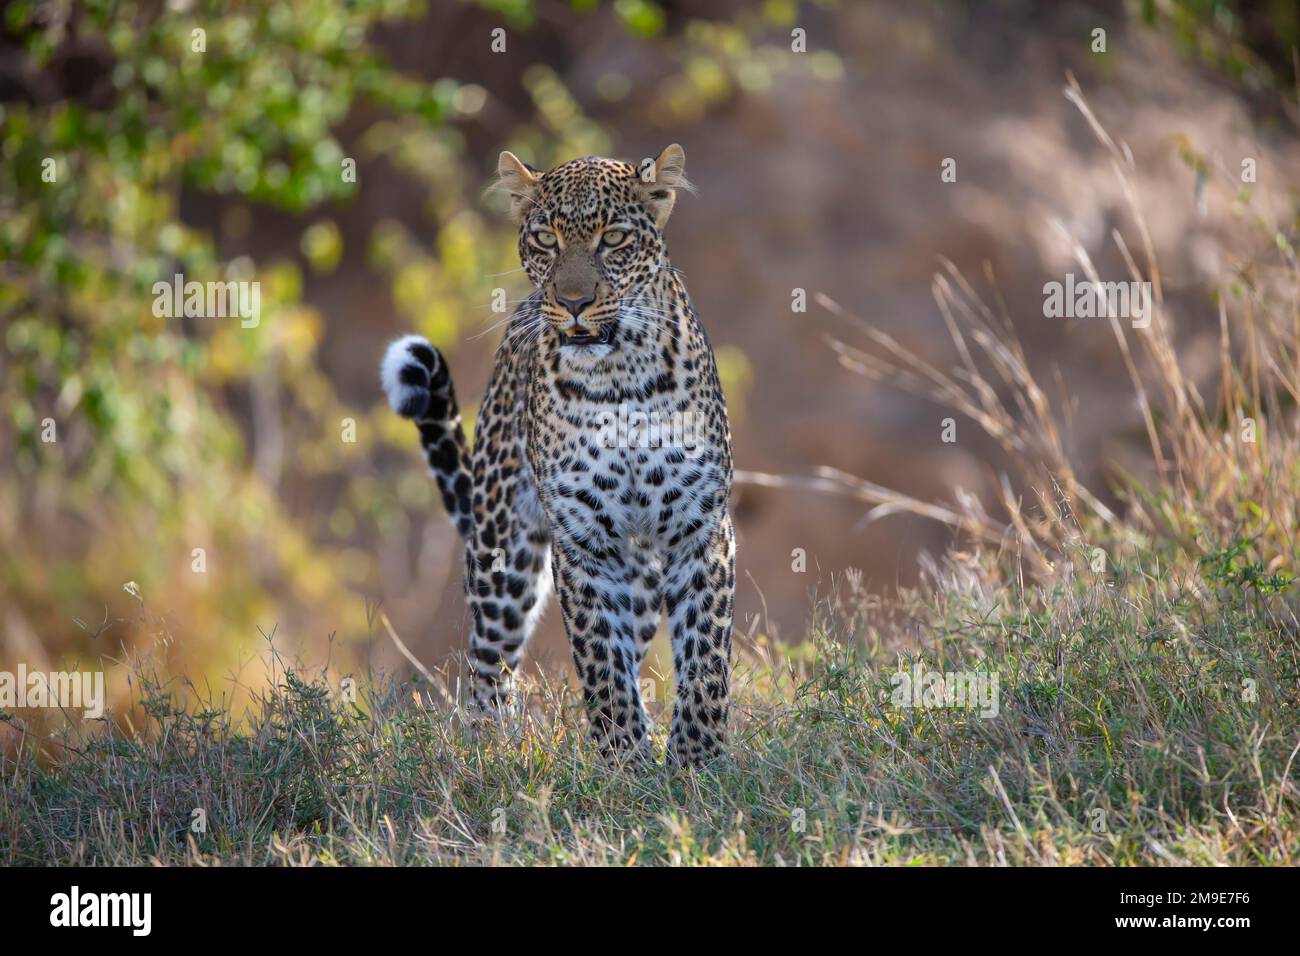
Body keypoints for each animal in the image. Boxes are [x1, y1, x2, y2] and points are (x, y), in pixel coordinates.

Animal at [381, 145, 734, 767]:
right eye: (546, 239)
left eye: (614, 238)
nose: (573, 303)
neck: (620, 382)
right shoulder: (583, 542)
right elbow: (601, 663)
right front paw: (627, 763)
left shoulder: (701, 528)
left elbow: (705, 654)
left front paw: (697, 762)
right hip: (503, 551)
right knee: (489, 666)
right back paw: (494, 751)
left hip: (641, 577)